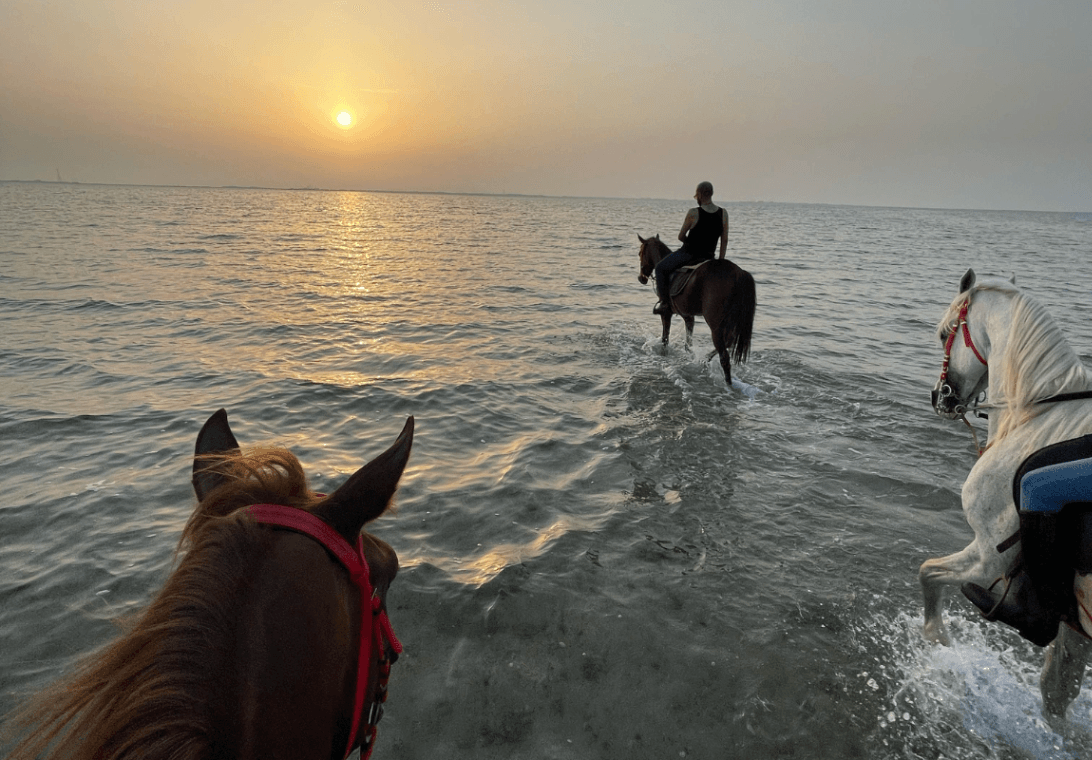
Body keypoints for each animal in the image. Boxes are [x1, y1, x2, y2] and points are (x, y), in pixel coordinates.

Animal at [636, 235, 756, 386]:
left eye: (640, 253)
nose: (641, 278)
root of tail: (739, 273)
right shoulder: (688, 316)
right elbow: (688, 344)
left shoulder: (666, 313)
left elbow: (665, 339)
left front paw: (664, 355)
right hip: (731, 320)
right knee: (729, 342)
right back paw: (705, 359)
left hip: (715, 324)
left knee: (724, 356)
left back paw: (726, 382)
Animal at [920, 268, 1092, 719]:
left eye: (944, 333)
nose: (939, 397)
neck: (1036, 418)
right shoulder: (1076, 623)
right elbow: (1056, 690)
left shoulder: (987, 559)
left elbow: (928, 572)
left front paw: (937, 637)